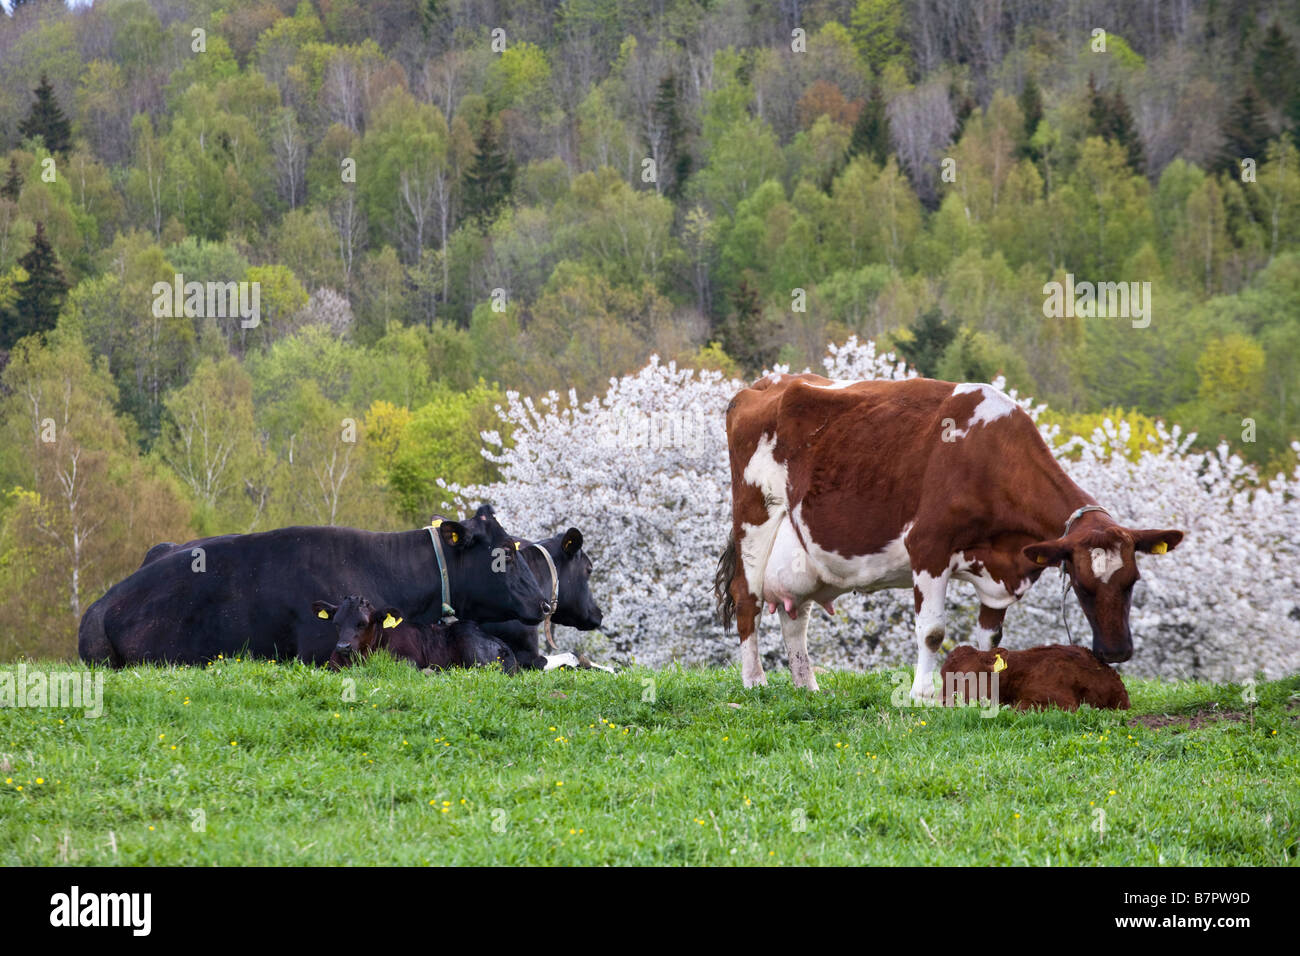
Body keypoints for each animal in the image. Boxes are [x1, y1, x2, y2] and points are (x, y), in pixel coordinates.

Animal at [714, 374, 1183, 698]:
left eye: (1133, 581)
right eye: (1083, 586)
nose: (1116, 651)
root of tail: (764, 384)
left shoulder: (1001, 569)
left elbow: (991, 638)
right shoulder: (928, 546)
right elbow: (932, 630)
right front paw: (921, 693)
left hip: (801, 547)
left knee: (795, 615)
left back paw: (807, 686)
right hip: (754, 517)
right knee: (746, 598)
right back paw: (755, 681)